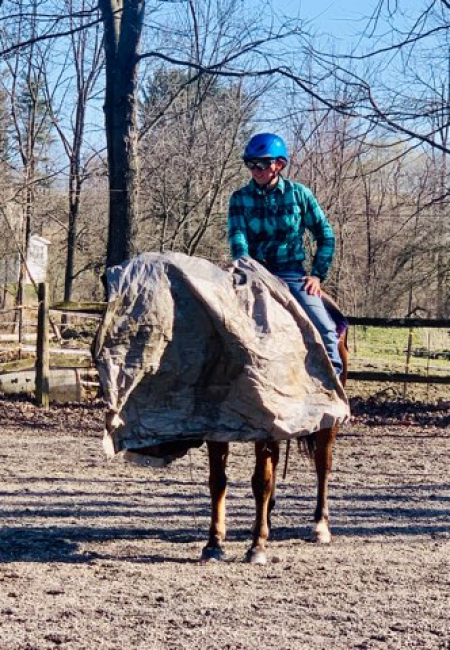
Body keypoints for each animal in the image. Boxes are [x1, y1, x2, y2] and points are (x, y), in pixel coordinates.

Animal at [201, 332, 348, 565]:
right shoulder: (215, 426)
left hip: (327, 421)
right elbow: (217, 481)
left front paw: (257, 547)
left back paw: (320, 526)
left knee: (322, 464)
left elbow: (261, 482)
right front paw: (214, 543)